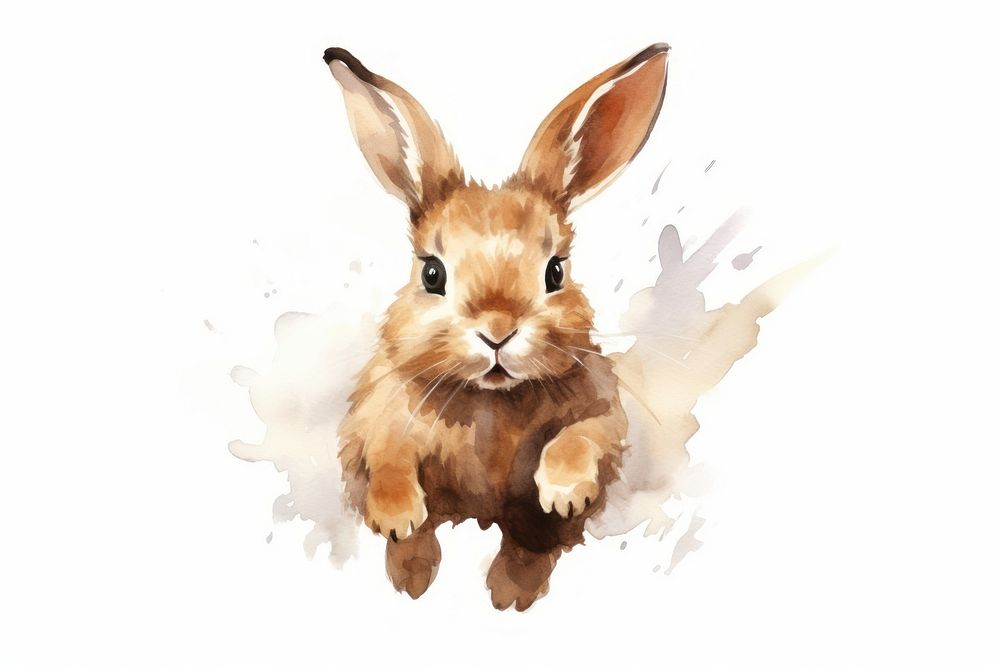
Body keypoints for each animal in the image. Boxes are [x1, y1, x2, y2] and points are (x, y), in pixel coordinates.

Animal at [325, 43, 670, 610]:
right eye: (432, 273)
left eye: (555, 272)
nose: (498, 331)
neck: (490, 400)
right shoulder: (379, 417)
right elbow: (389, 457)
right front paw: (399, 516)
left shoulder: (601, 413)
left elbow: (581, 437)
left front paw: (563, 490)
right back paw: (415, 582)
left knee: (532, 545)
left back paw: (508, 593)